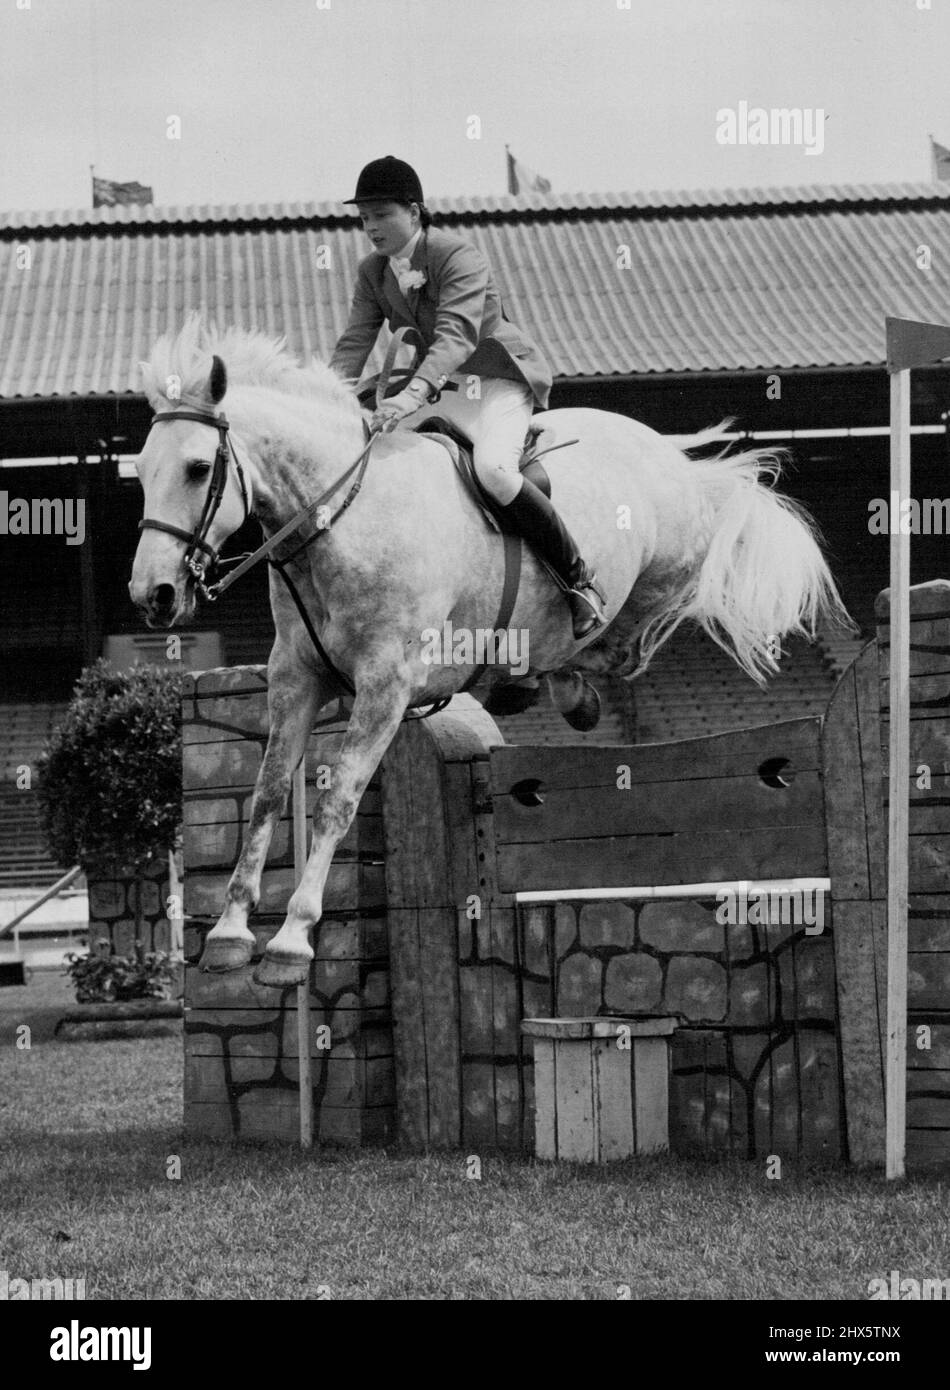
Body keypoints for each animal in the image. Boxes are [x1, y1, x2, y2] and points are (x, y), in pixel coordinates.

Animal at [129, 317, 850, 986]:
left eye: (198, 469)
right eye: (140, 474)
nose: (153, 595)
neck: (341, 518)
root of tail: (672, 455)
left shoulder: (386, 686)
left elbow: (340, 797)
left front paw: (291, 940)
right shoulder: (294, 679)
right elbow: (267, 793)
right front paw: (228, 932)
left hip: (664, 572)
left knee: (632, 638)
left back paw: (571, 666)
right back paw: (534, 683)